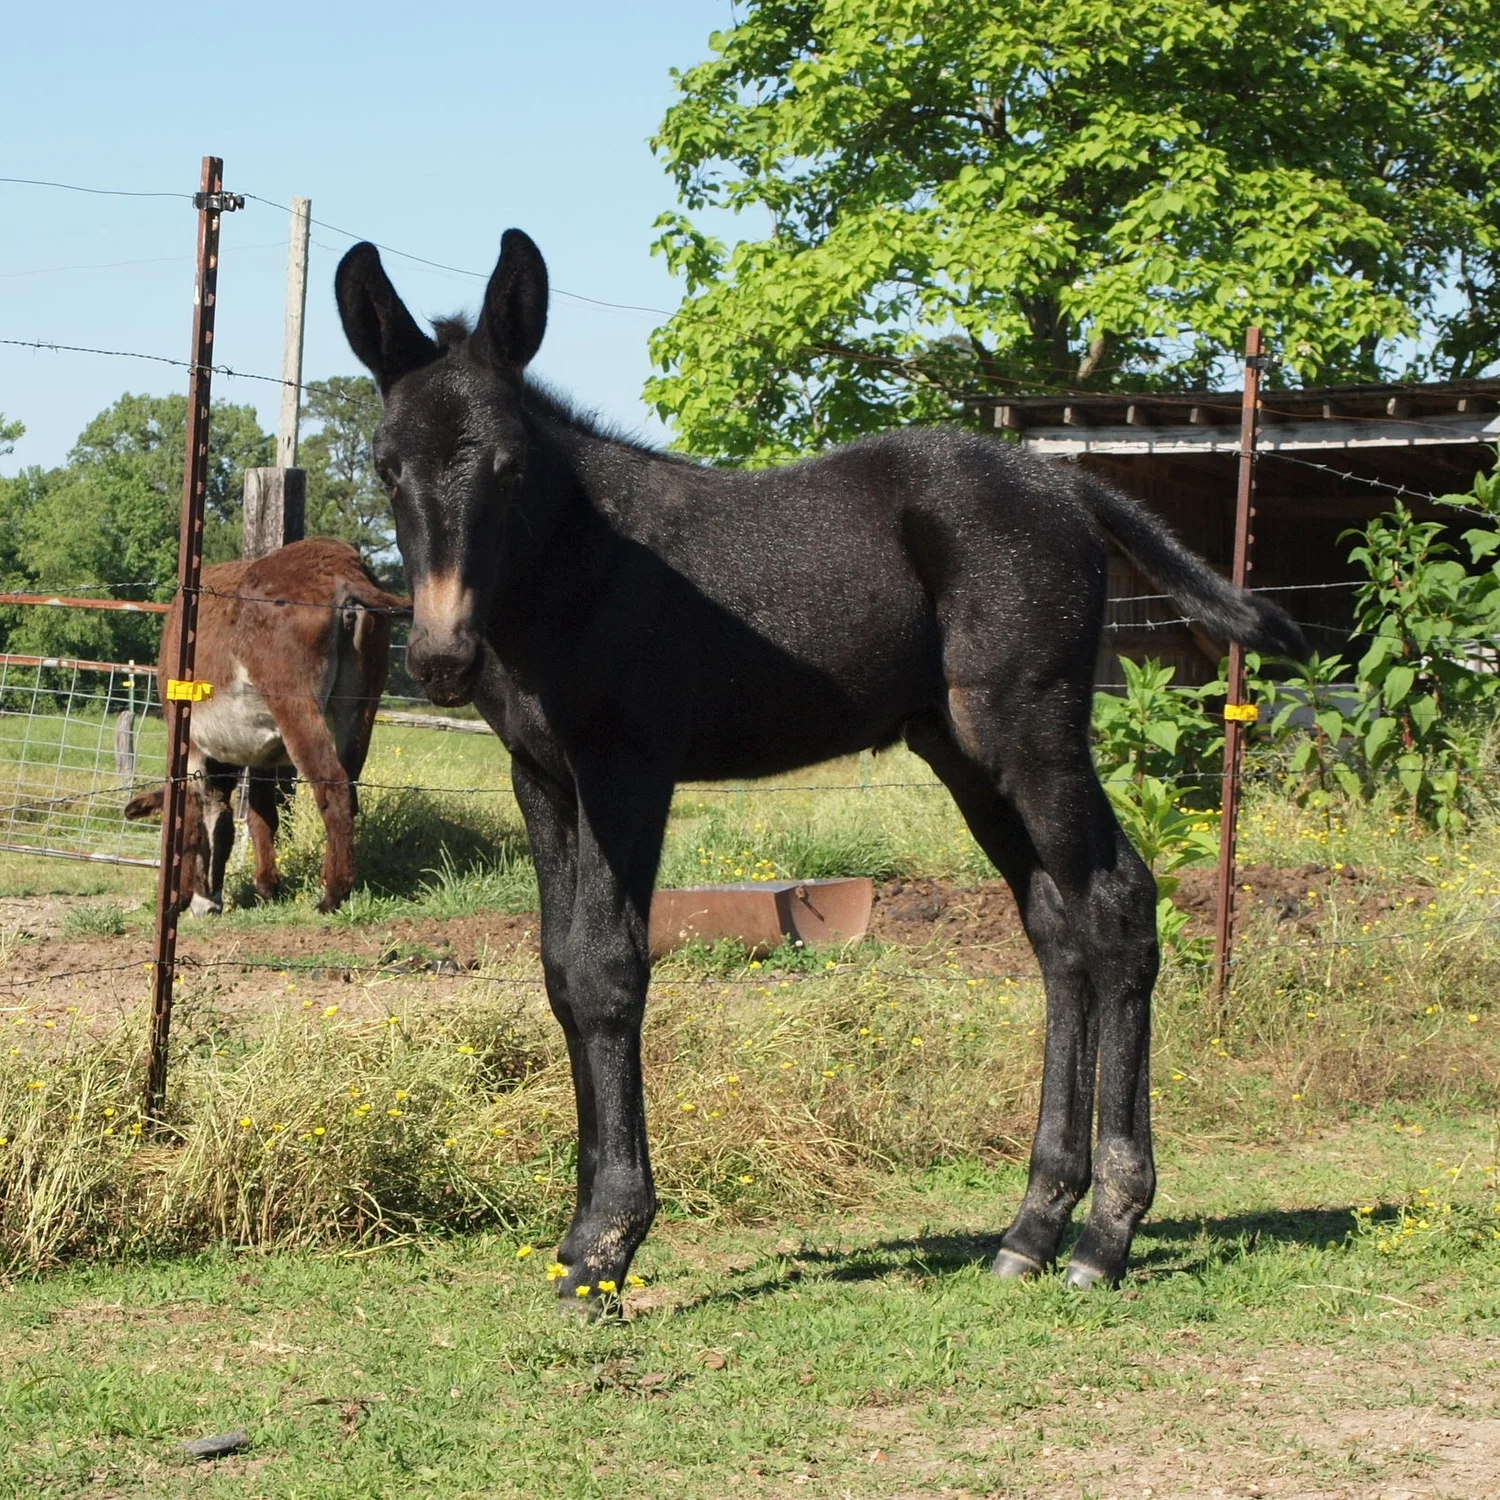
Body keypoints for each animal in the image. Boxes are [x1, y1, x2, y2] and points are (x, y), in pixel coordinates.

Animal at [125, 537, 405, 915]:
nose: (207, 903)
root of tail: (343, 569)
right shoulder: (261, 752)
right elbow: (257, 816)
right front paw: (267, 887)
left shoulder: (190, 747)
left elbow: (194, 820)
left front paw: (178, 900)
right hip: (362, 704)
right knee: (350, 787)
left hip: (295, 704)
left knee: (333, 787)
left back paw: (332, 895)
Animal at [335, 229, 1308, 1303]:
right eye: (385, 466)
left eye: (508, 466)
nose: (440, 658)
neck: (575, 570)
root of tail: (1067, 486)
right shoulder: (541, 779)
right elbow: (559, 973)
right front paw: (579, 1233)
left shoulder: (629, 770)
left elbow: (608, 970)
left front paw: (607, 1245)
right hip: (963, 753)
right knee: (1060, 931)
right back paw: (1033, 1226)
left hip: (1030, 731)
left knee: (1119, 904)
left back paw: (1107, 1235)